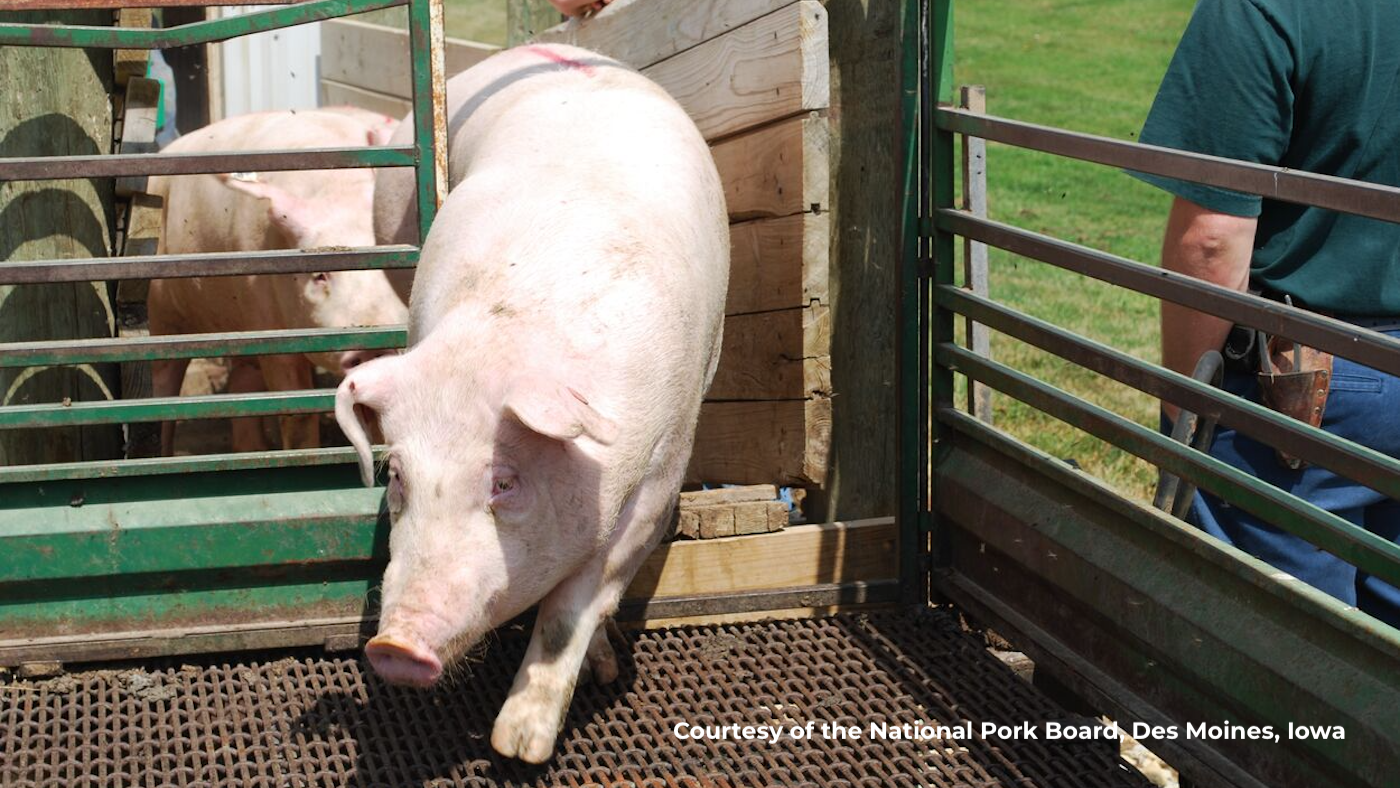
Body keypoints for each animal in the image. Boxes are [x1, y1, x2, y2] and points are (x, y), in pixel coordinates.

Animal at [147, 109, 408, 454]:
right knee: (164, 385)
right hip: (162, 306)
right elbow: (297, 415)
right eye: (320, 275)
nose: (374, 346)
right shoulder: (269, 324)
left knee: (242, 381)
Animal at [335, 44, 728, 763]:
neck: (509, 321)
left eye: (504, 482)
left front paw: (519, 747)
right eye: (397, 475)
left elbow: (571, 610)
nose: (394, 645)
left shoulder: (661, 474)